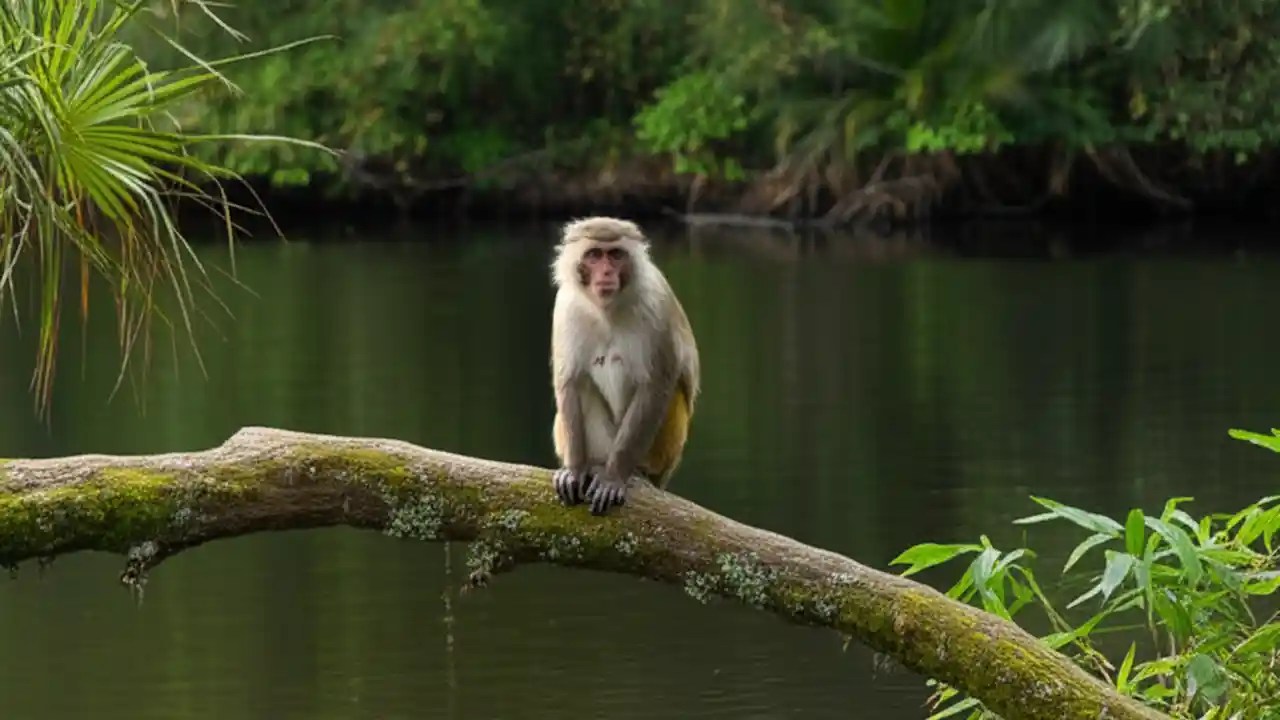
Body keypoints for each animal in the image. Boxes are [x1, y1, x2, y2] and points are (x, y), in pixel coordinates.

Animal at [549, 216, 700, 516]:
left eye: (616, 255)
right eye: (594, 255)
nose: (607, 272)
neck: (607, 309)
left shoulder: (656, 306)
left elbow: (656, 386)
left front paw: (614, 477)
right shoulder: (566, 307)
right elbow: (569, 381)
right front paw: (574, 469)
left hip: (664, 450)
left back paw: (636, 470)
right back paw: (592, 464)